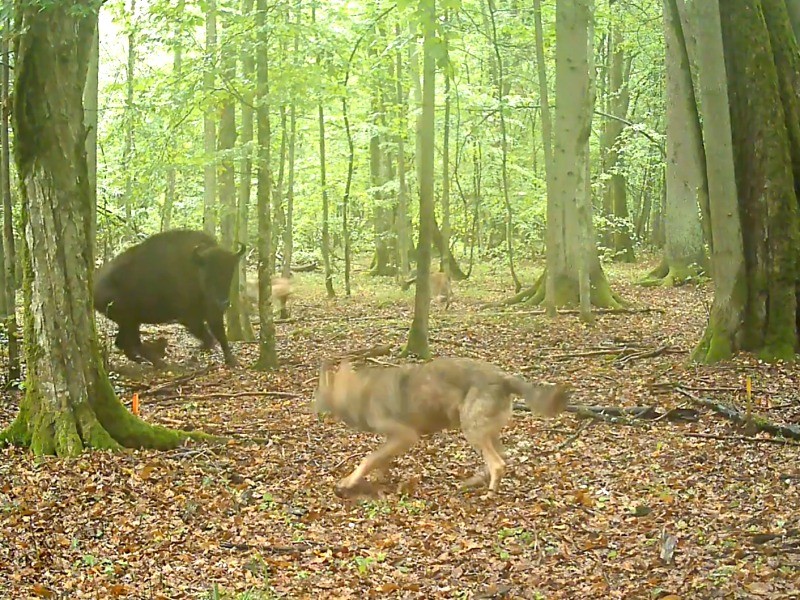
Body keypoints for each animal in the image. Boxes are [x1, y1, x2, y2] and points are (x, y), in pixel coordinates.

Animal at [93, 230, 245, 366]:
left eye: (230, 274)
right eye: (207, 276)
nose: (223, 303)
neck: (194, 267)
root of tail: (95, 284)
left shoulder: (213, 314)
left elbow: (220, 336)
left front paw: (232, 360)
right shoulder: (189, 317)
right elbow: (209, 337)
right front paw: (197, 354)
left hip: (130, 322)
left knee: (124, 343)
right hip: (128, 320)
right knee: (131, 342)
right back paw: (158, 363)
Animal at [314, 357, 568, 495]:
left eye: (318, 393)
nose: (311, 409)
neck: (361, 394)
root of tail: (503, 376)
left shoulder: (406, 436)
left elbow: (368, 459)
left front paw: (349, 482)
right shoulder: (393, 440)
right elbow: (379, 461)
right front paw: (380, 479)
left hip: (472, 432)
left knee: (498, 464)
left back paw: (488, 495)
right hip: (485, 433)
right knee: (502, 458)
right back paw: (473, 482)